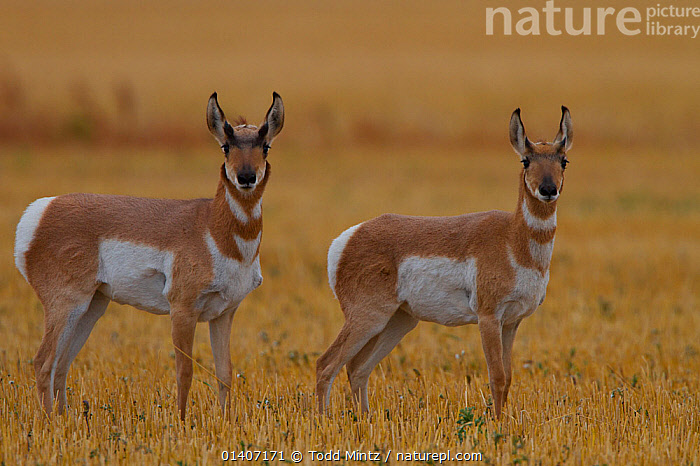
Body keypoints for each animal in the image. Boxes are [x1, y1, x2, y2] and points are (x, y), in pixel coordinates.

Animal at [14, 92, 284, 420]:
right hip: (66, 304)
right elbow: (184, 371)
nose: (246, 177)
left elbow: (225, 373)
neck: (213, 229)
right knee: (43, 362)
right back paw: (50, 423)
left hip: (91, 308)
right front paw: (182, 422)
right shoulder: (182, 310)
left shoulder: (224, 313)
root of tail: (41, 211)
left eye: (265, 146)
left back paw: (66, 420)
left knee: (61, 365)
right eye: (226, 146)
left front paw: (225, 421)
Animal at [317, 106, 572, 419]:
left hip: (398, 321)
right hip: (368, 317)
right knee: (326, 364)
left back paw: (364, 420)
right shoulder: (489, 318)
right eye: (526, 160)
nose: (548, 189)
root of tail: (347, 238)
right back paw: (322, 421)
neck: (514, 238)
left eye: (563, 160)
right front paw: (498, 423)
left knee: (356, 368)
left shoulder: (512, 322)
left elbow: (509, 377)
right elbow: (497, 377)